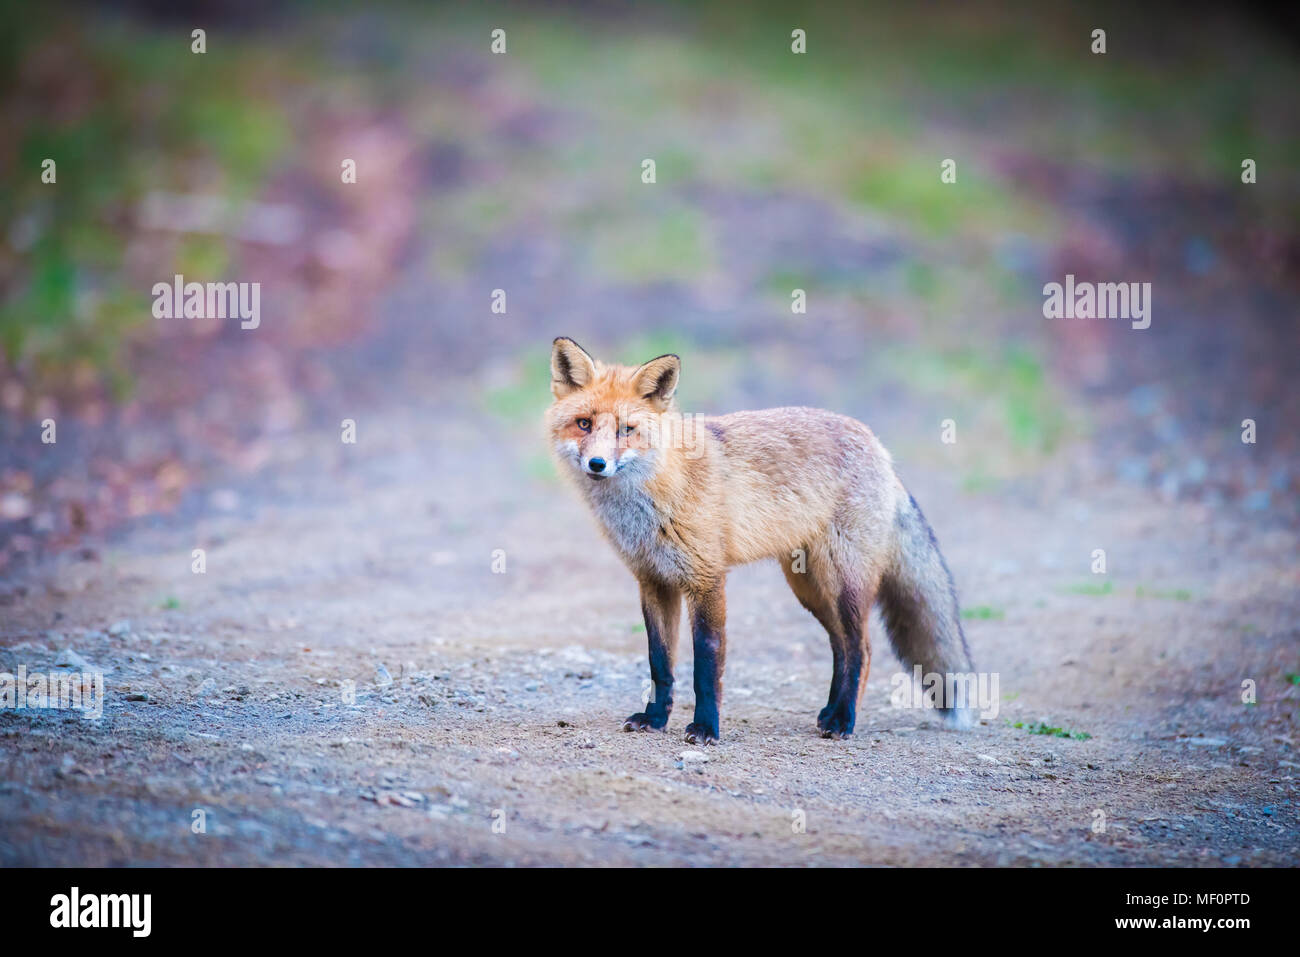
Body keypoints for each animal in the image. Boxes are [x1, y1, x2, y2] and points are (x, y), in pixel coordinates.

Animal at [547, 336, 975, 745]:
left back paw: (844, 720)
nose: (597, 464)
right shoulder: (653, 580)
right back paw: (829, 713)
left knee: (862, 649)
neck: (652, 496)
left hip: (844, 583)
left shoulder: (706, 579)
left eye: (626, 429)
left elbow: (706, 664)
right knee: (840, 646)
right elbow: (660, 662)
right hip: (809, 587)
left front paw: (706, 727)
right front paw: (655, 719)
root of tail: (880, 448)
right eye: (583, 424)